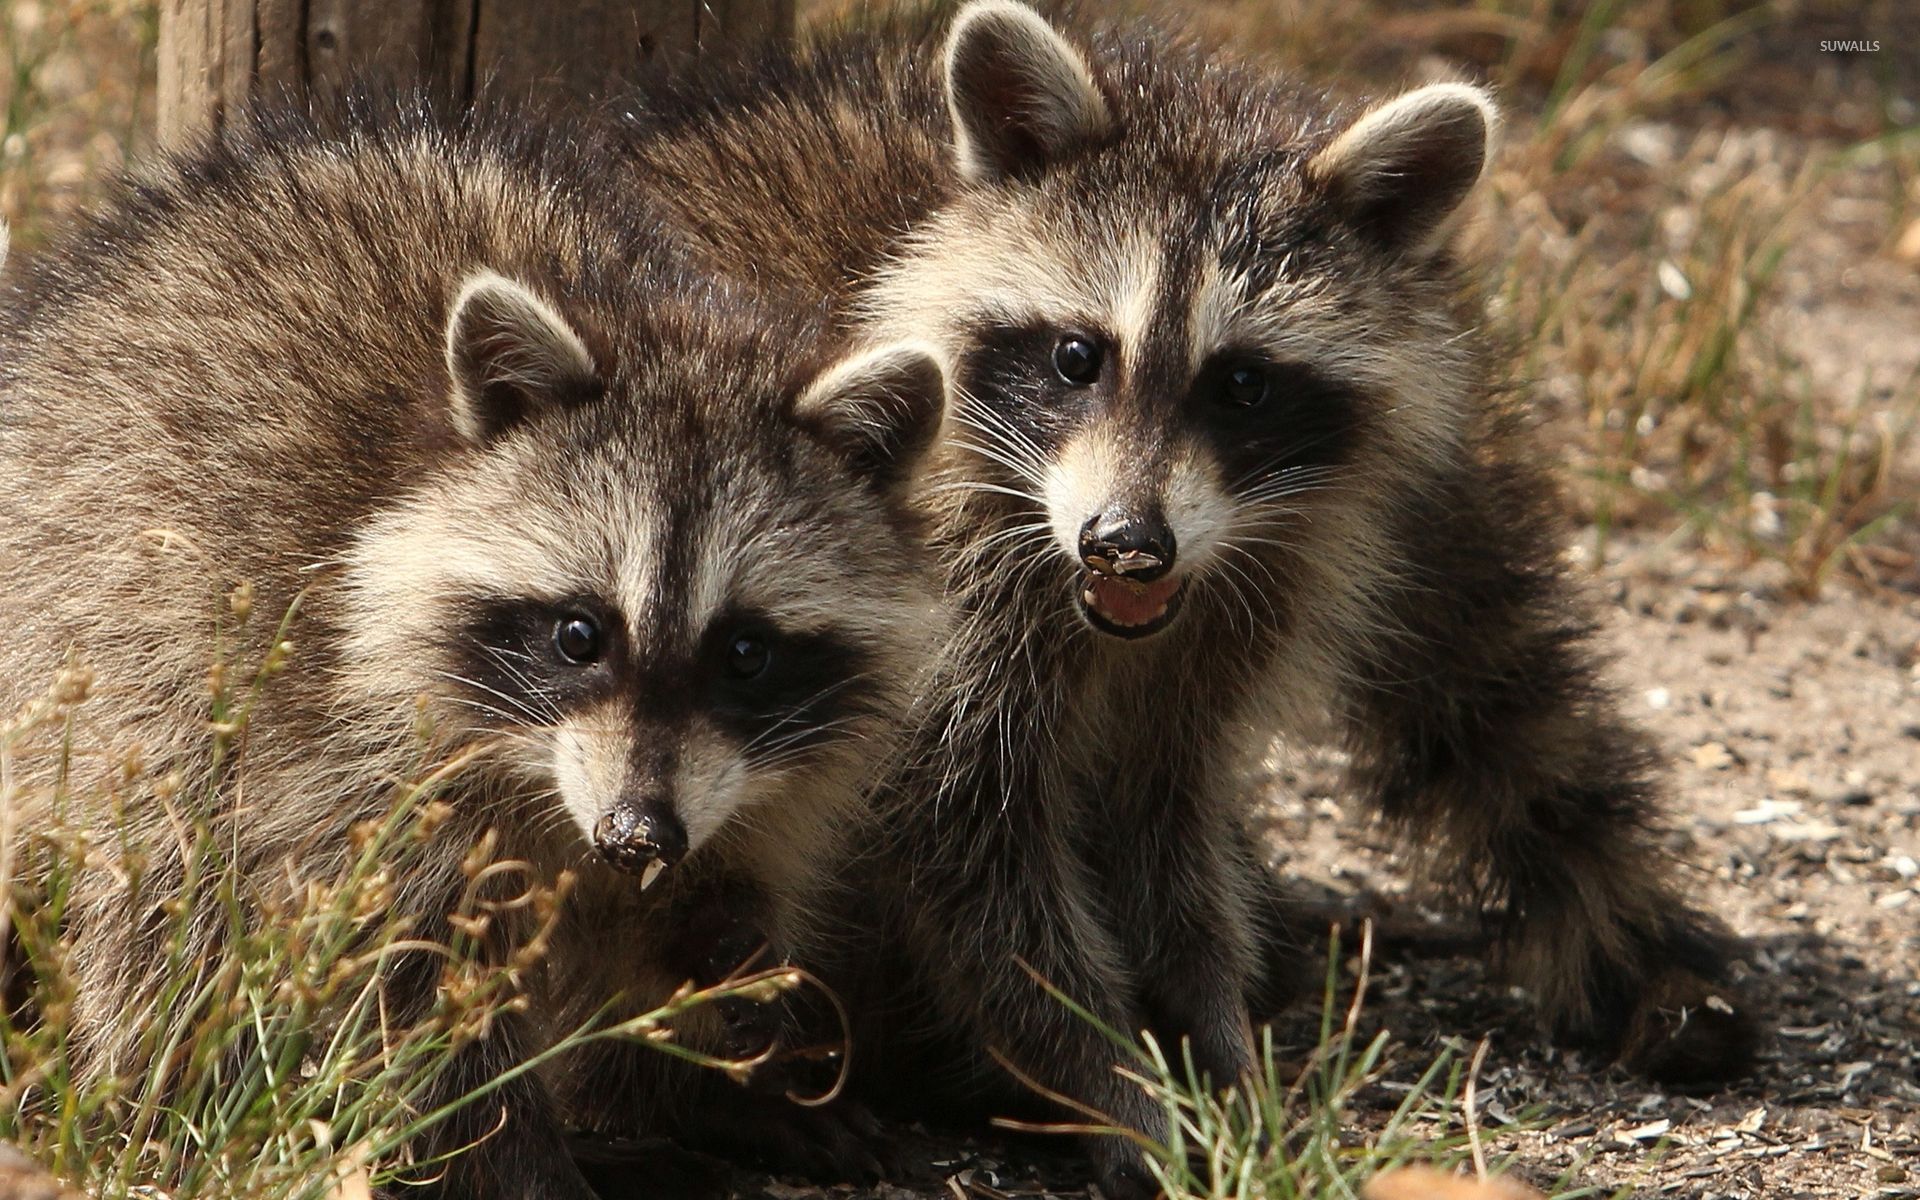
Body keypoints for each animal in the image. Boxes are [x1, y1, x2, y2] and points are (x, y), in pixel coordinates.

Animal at [0, 100, 946, 1198]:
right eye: (579, 635)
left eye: (745, 652)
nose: (638, 833)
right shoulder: (337, 738)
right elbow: (401, 979)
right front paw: (509, 1149)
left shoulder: (761, 782)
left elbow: (713, 904)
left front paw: (723, 1056)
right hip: (107, 634)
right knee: (166, 881)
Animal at [609, 3, 1760, 1193]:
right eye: (1077, 357)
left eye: (1243, 384)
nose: (1127, 543)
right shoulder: (935, 601)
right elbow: (973, 857)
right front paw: (1112, 1082)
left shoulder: (1249, 596)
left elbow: (1167, 824)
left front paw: (1213, 1038)